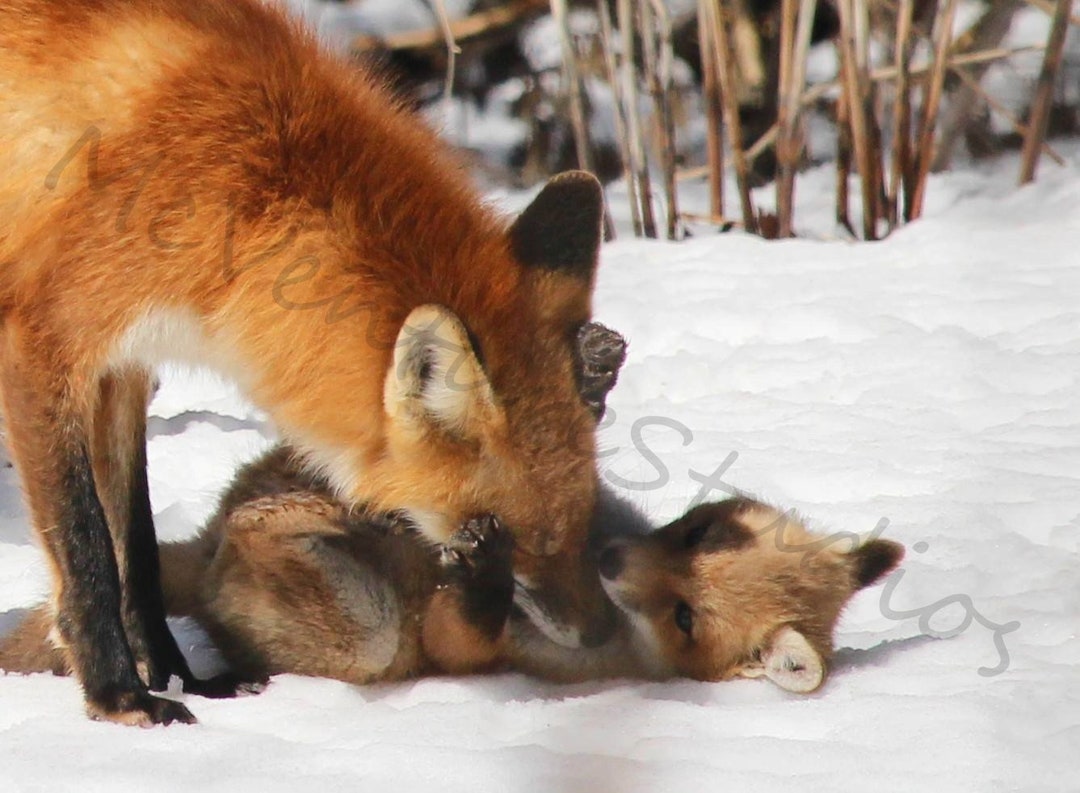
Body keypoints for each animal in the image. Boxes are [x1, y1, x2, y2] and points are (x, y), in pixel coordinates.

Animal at [0, 0, 618, 725]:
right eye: (524, 540)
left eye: (583, 522)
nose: (605, 631)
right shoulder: (44, 345)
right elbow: (87, 548)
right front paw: (119, 695)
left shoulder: (128, 363)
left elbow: (138, 549)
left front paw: (178, 676)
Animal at [3, 447, 905, 692]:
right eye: (701, 531)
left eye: (687, 616)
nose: (608, 557)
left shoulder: (474, 644)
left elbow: (462, 624)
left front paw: (482, 575)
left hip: (366, 639)